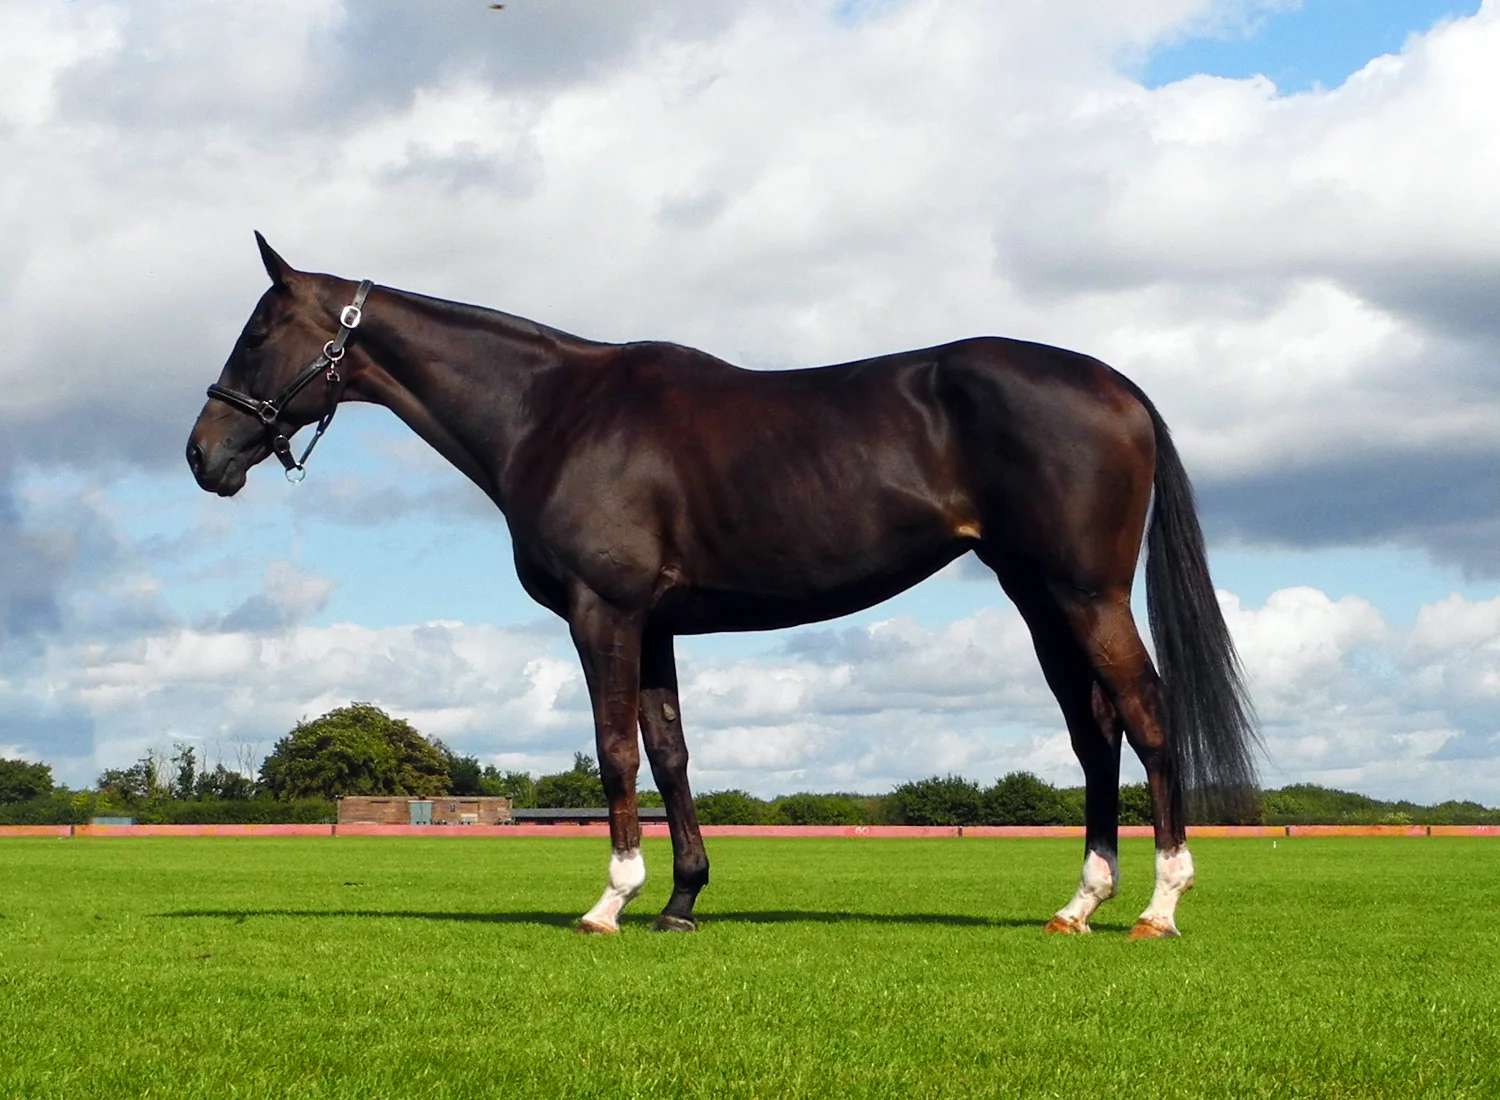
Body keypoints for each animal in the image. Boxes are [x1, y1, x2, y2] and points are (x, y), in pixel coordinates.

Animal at [187, 234, 1257, 938]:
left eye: (259, 333)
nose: (203, 455)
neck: (552, 412)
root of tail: (1117, 385)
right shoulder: (656, 625)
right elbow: (670, 756)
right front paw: (680, 900)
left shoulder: (603, 614)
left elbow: (616, 752)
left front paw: (609, 901)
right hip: (1037, 597)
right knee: (1094, 733)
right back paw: (1079, 903)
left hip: (1085, 595)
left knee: (1146, 716)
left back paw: (1160, 904)